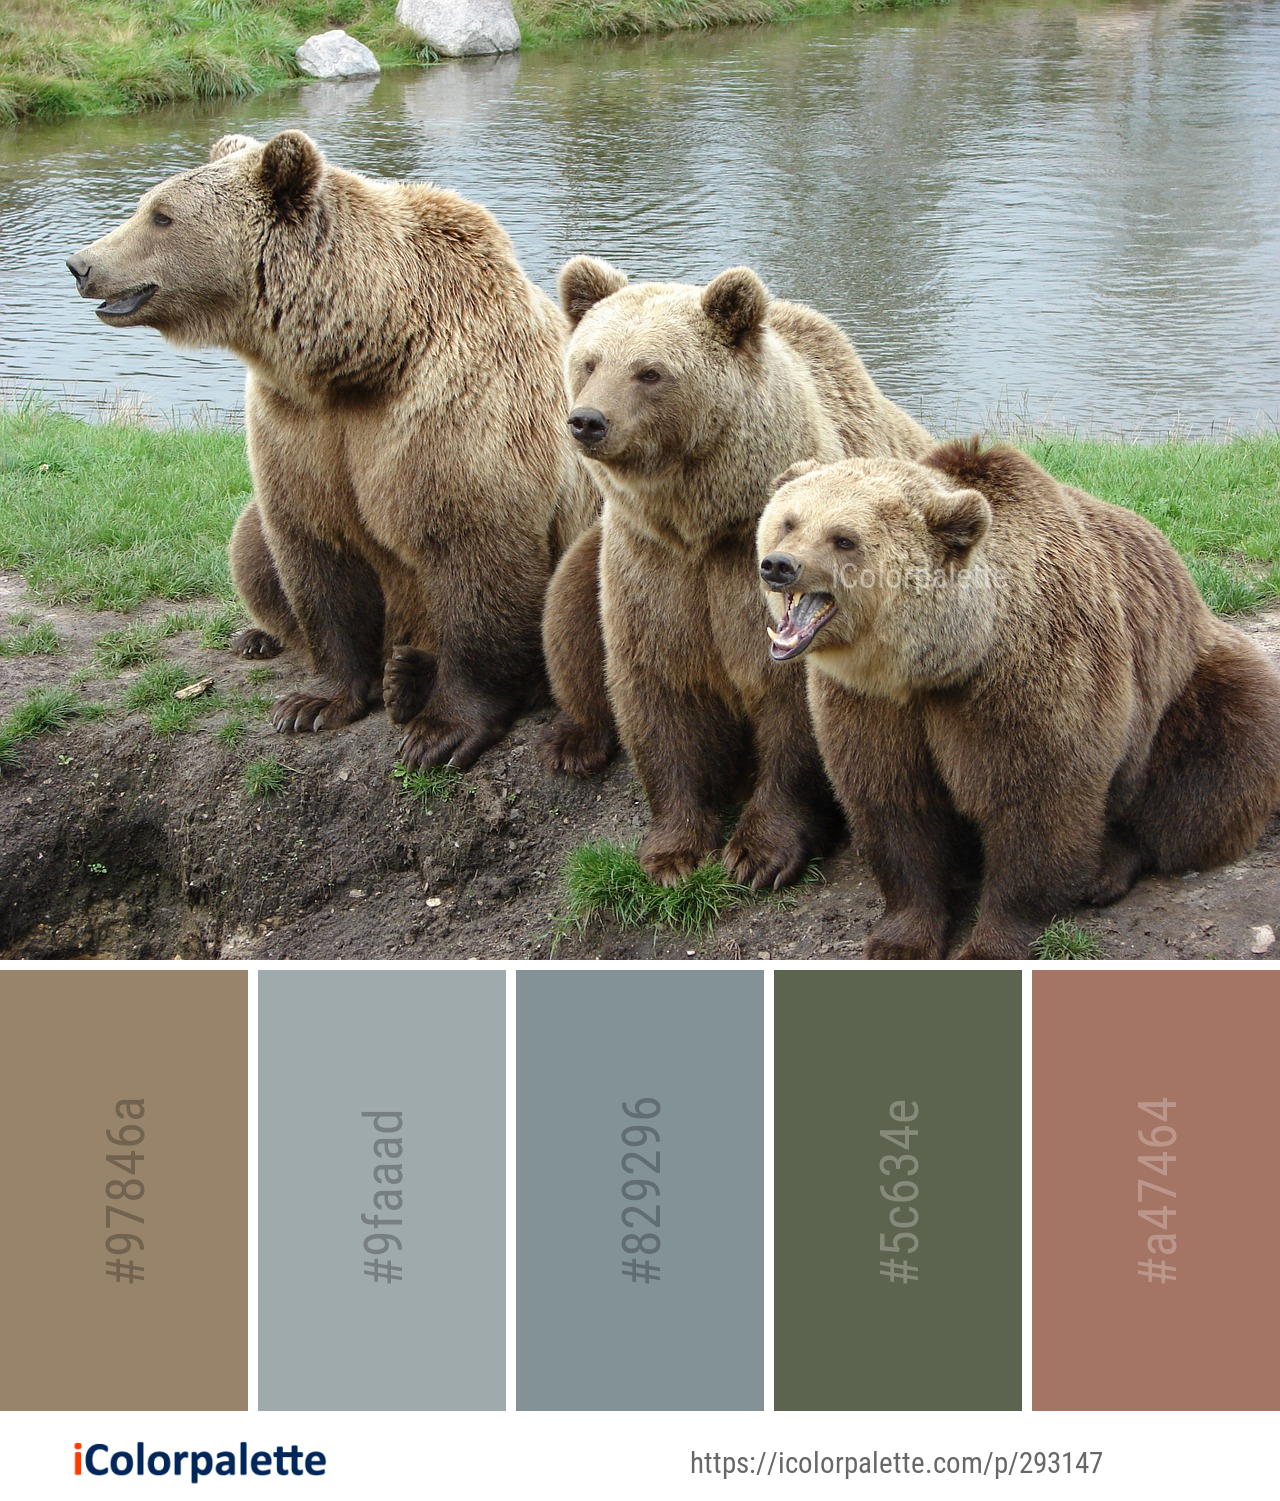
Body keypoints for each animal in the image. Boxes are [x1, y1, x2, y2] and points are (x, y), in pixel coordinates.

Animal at [67, 129, 598, 770]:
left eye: (161, 215)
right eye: (150, 204)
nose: (81, 264)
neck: (363, 355)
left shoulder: (455, 413)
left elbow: (473, 553)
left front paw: (441, 731)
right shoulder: (300, 426)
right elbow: (314, 550)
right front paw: (313, 703)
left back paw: (412, 676)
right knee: (249, 542)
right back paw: (270, 638)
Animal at [542, 256, 934, 888]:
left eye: (650, 372)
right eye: (589, 361)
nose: (588, 421)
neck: (703, 523)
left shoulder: (752, 575)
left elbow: (794, 708)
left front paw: (758, 853)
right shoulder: (654, 564)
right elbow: (658, 688)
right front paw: (673, 852)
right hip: (594, 550)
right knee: (568, 607)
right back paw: (573, 740)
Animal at [756, 439, 1280, 958]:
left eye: (844, 538)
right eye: (789, 521)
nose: (779, 565)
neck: (936, 664)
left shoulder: (1029, 676)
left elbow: (1036, 804)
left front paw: (991, 942)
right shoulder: (869, 703)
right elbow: (894, 804)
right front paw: (899, 940)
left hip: (1186, 686)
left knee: (1213, 768)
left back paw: (1106, 866)